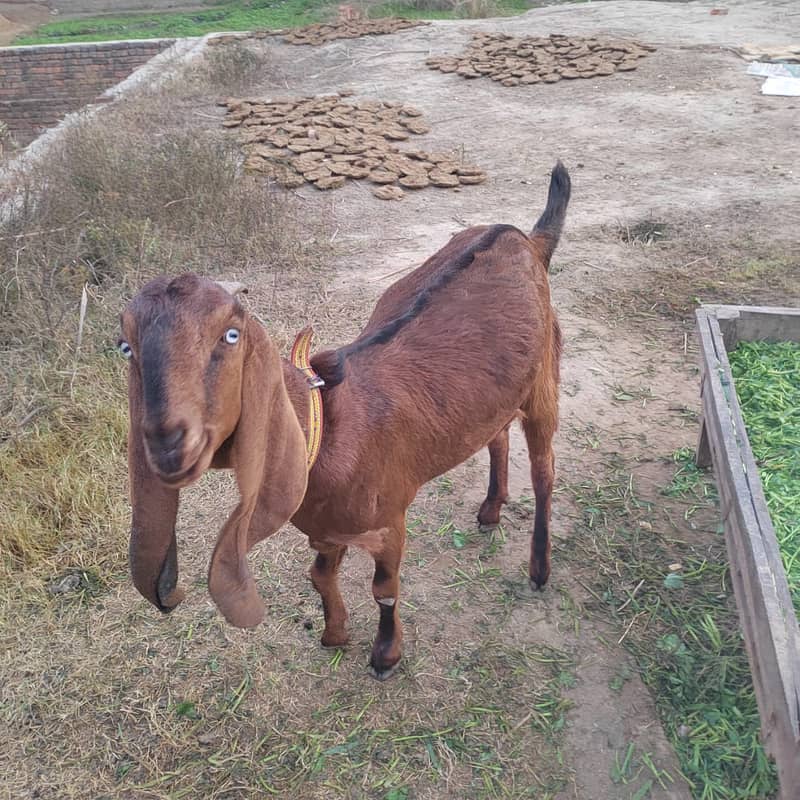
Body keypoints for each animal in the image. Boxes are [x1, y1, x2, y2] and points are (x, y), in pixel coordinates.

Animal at [120, 161, 570, 679]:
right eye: (125, 346)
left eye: (231, 335)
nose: (168, 442)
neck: (327, 428)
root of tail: (523, 237)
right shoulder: (327, 530)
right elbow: (318, 575)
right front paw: (334, 633)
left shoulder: (391, 521)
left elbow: (385, 589)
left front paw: (385, 656)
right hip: (499, 394)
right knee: (496, 436)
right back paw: (491, 510)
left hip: (545, 380)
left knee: (545, 472)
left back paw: (540, 569)